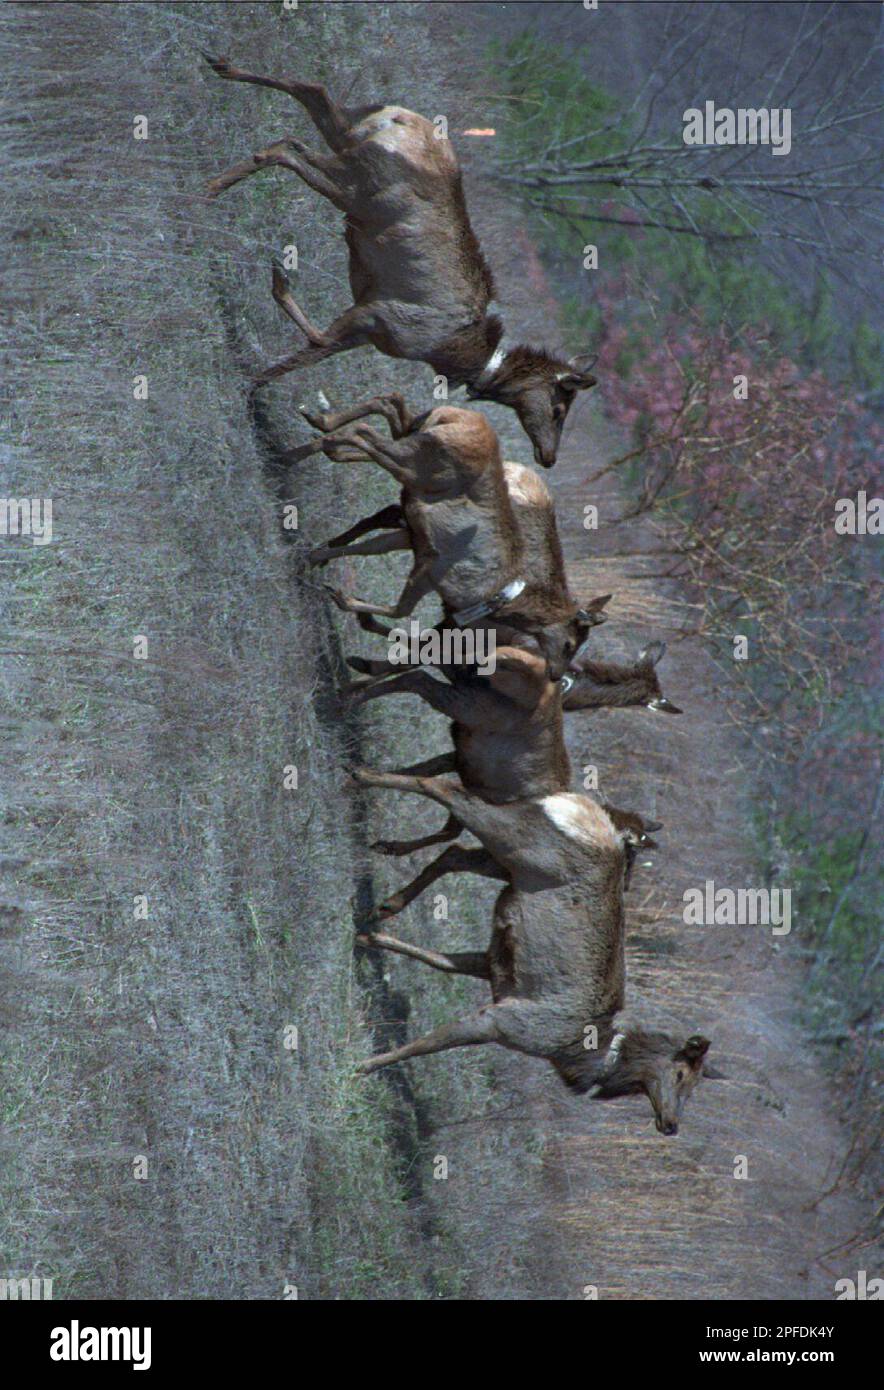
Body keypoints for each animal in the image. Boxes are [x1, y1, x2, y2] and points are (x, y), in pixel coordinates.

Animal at [202, 55, 598, 467]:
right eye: (559, 408)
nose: (548, 456)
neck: (456, 354)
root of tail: (399, 120)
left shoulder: (370, 330)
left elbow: (313, 352)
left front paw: (256, 385)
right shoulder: (383, 315)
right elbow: (318, 338)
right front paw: (278, 287)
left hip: (349, 141)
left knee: (308, 103)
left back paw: (222, 71)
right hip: (355, 186)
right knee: (286, 148)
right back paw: (212, 187)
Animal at [285, 398, 600, 679]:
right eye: (570, 643)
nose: (556, 675)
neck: (506, 598)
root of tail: (463, 418)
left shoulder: (421, 543)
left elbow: (369, 550)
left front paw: (313, 558)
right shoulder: (432, 571)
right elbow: (402, 610)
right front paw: (341, 597)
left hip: (414, 455)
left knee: (385, 412)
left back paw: (317, 429)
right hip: (414, 463)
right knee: (367, 431)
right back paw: (308, 444)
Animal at [350, 767, 721, 1135]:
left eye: (697, 1085)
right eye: (681, 1074)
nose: (671, 1124)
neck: (578, 1052)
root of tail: (584, 808)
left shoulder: (494, 966)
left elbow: (439, 961)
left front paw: (370, 938)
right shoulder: (507, 1024)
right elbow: (426, 1045)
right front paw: (362, 1066)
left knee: (454, 845)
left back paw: (384, 897)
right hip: (518, 844)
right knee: (446, 790)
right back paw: (359, 777)